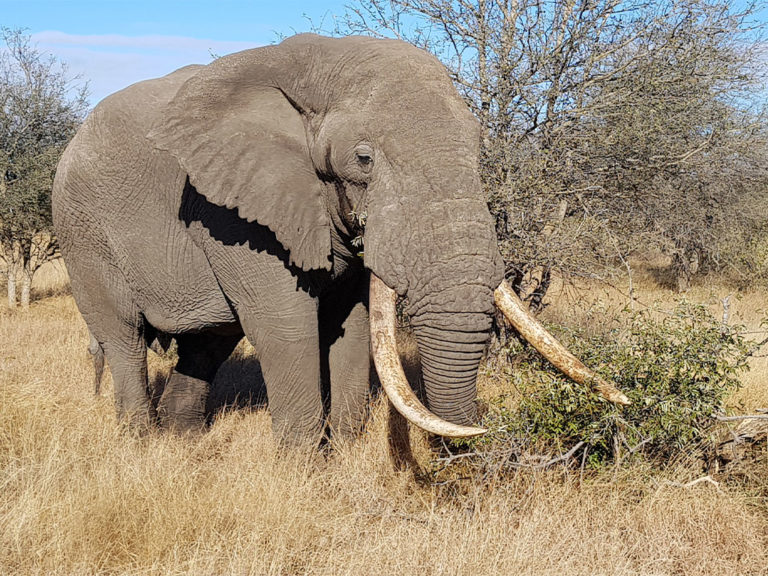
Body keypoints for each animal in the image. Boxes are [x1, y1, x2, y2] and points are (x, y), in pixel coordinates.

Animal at [53, 34, 627, 444]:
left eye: (477, 148)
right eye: (364, 159)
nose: (480, 436)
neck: (316, 62)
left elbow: (352, 323)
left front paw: (346, 450)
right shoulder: (234, 210)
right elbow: (286, 326)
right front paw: (304, 469)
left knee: (207, 342)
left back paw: (183, 442)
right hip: (82, 233)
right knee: (125, 339)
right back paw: (139, 444)